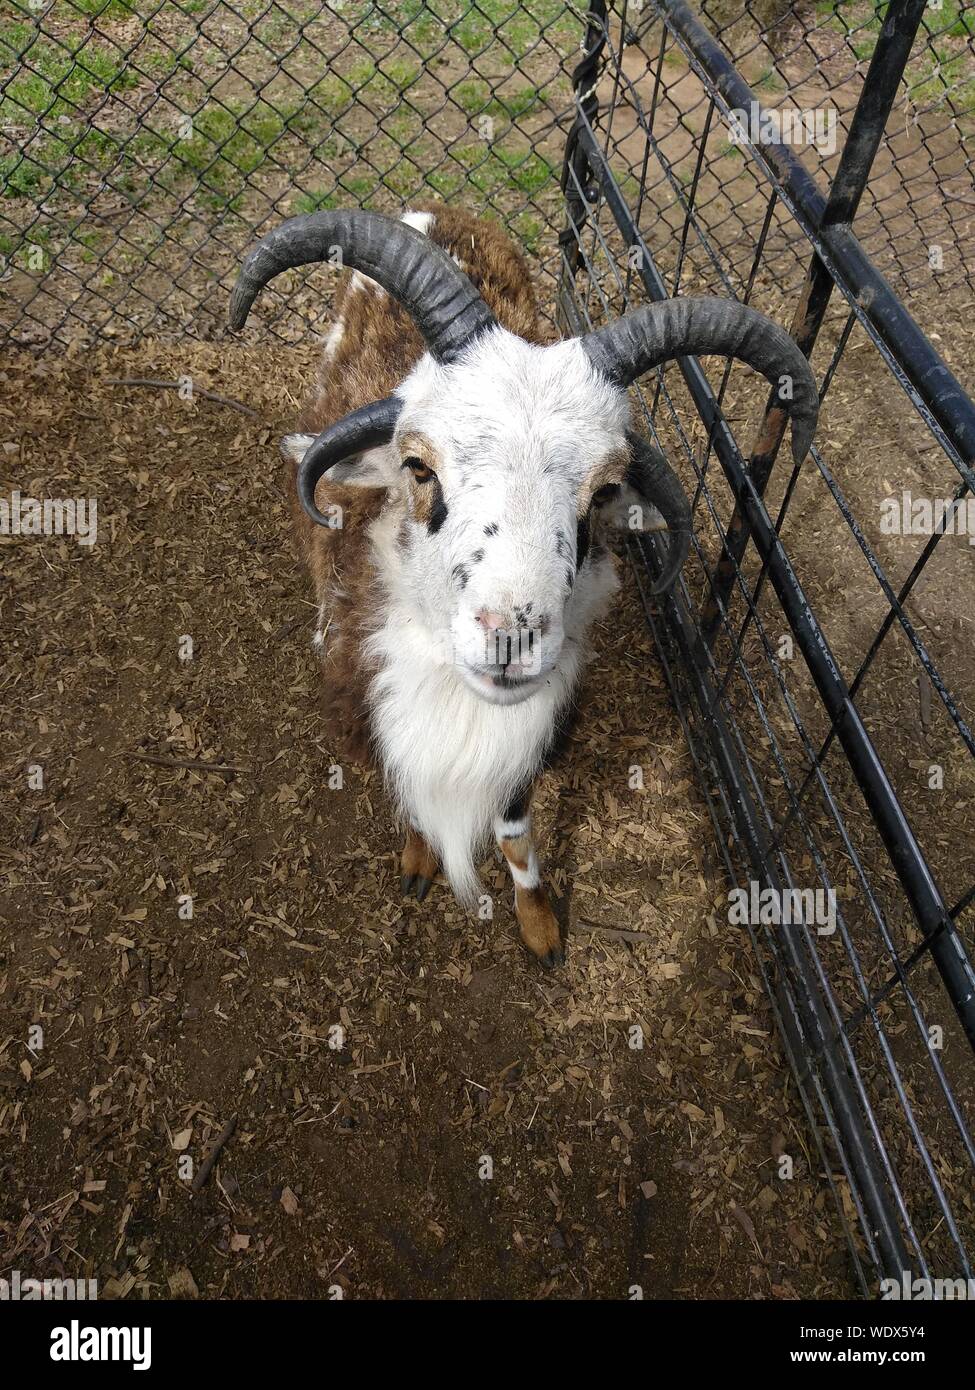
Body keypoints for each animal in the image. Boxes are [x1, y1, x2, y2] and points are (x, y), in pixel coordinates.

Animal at [229, 204, 818, 967]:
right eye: (418, 466)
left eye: (605, 490)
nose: (511, 640)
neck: (453, 696)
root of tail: (432, 212)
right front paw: (418, 861)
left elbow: (514, 834)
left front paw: (539, 926)